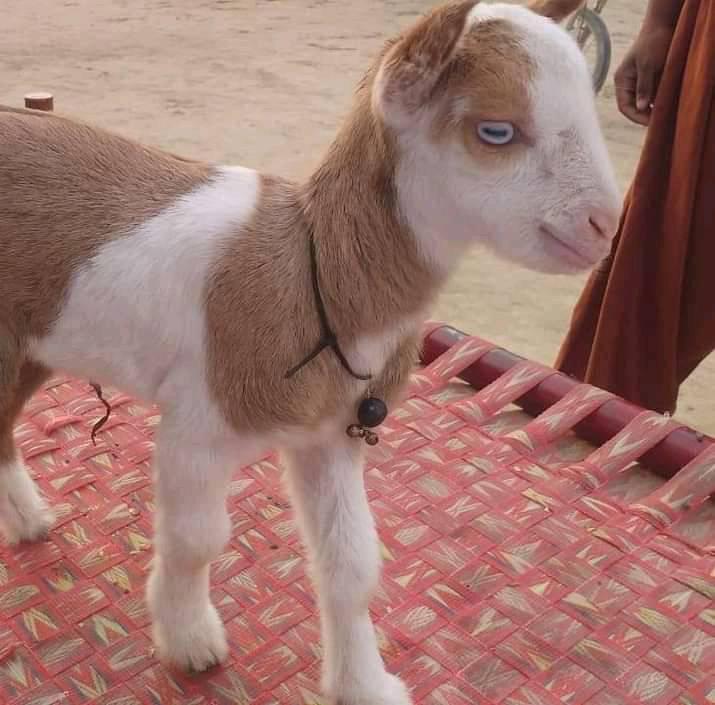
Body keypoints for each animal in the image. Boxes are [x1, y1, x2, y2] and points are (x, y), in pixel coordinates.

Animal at [0, 1, 619, 703]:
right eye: (496, 130)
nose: (604, 226)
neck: (313, 268)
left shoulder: (330, 435)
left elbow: (353, 564)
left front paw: (365, 684)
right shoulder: (197, 426)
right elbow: (197, 540)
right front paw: (190, 641)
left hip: (32, 338)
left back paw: (28, 520)